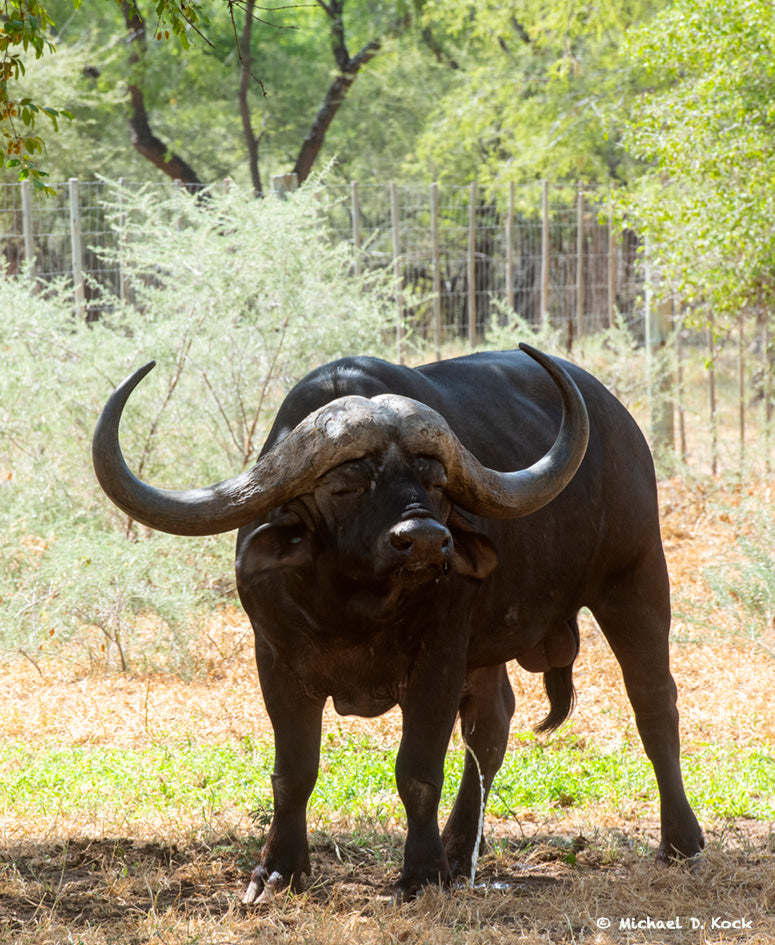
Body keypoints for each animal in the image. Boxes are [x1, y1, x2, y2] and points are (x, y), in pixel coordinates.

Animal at [92, 344, 704, 902]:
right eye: (343, 485)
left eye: (433, 480)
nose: (427, 540)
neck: (352, 607)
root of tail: (620, 424)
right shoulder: (277, 662)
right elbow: (294, 772)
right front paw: (278, 871)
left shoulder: (438, 658)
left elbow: (418, 770)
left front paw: (422, 873)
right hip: (493, 647)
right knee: (493, 725)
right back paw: (461, 850)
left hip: (636, 579)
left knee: (654, 704)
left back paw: (680, 840)